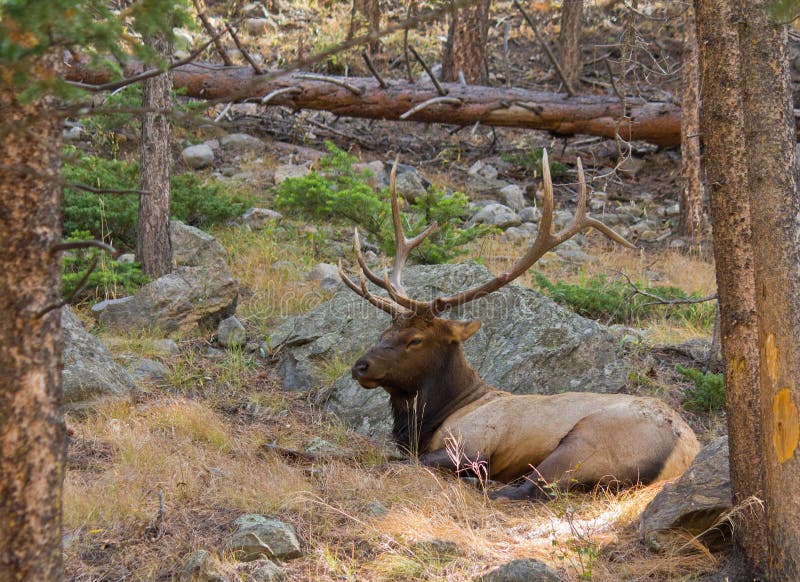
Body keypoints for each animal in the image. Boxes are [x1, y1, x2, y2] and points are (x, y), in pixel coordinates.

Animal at [337, 151, 700, 500]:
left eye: (415, 340)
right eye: (384, 332)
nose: (360, 366)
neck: (432, 420)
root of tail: (683, 453)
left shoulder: (472, 445)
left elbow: (400, 461)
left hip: (586, 441)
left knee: (531, 489)